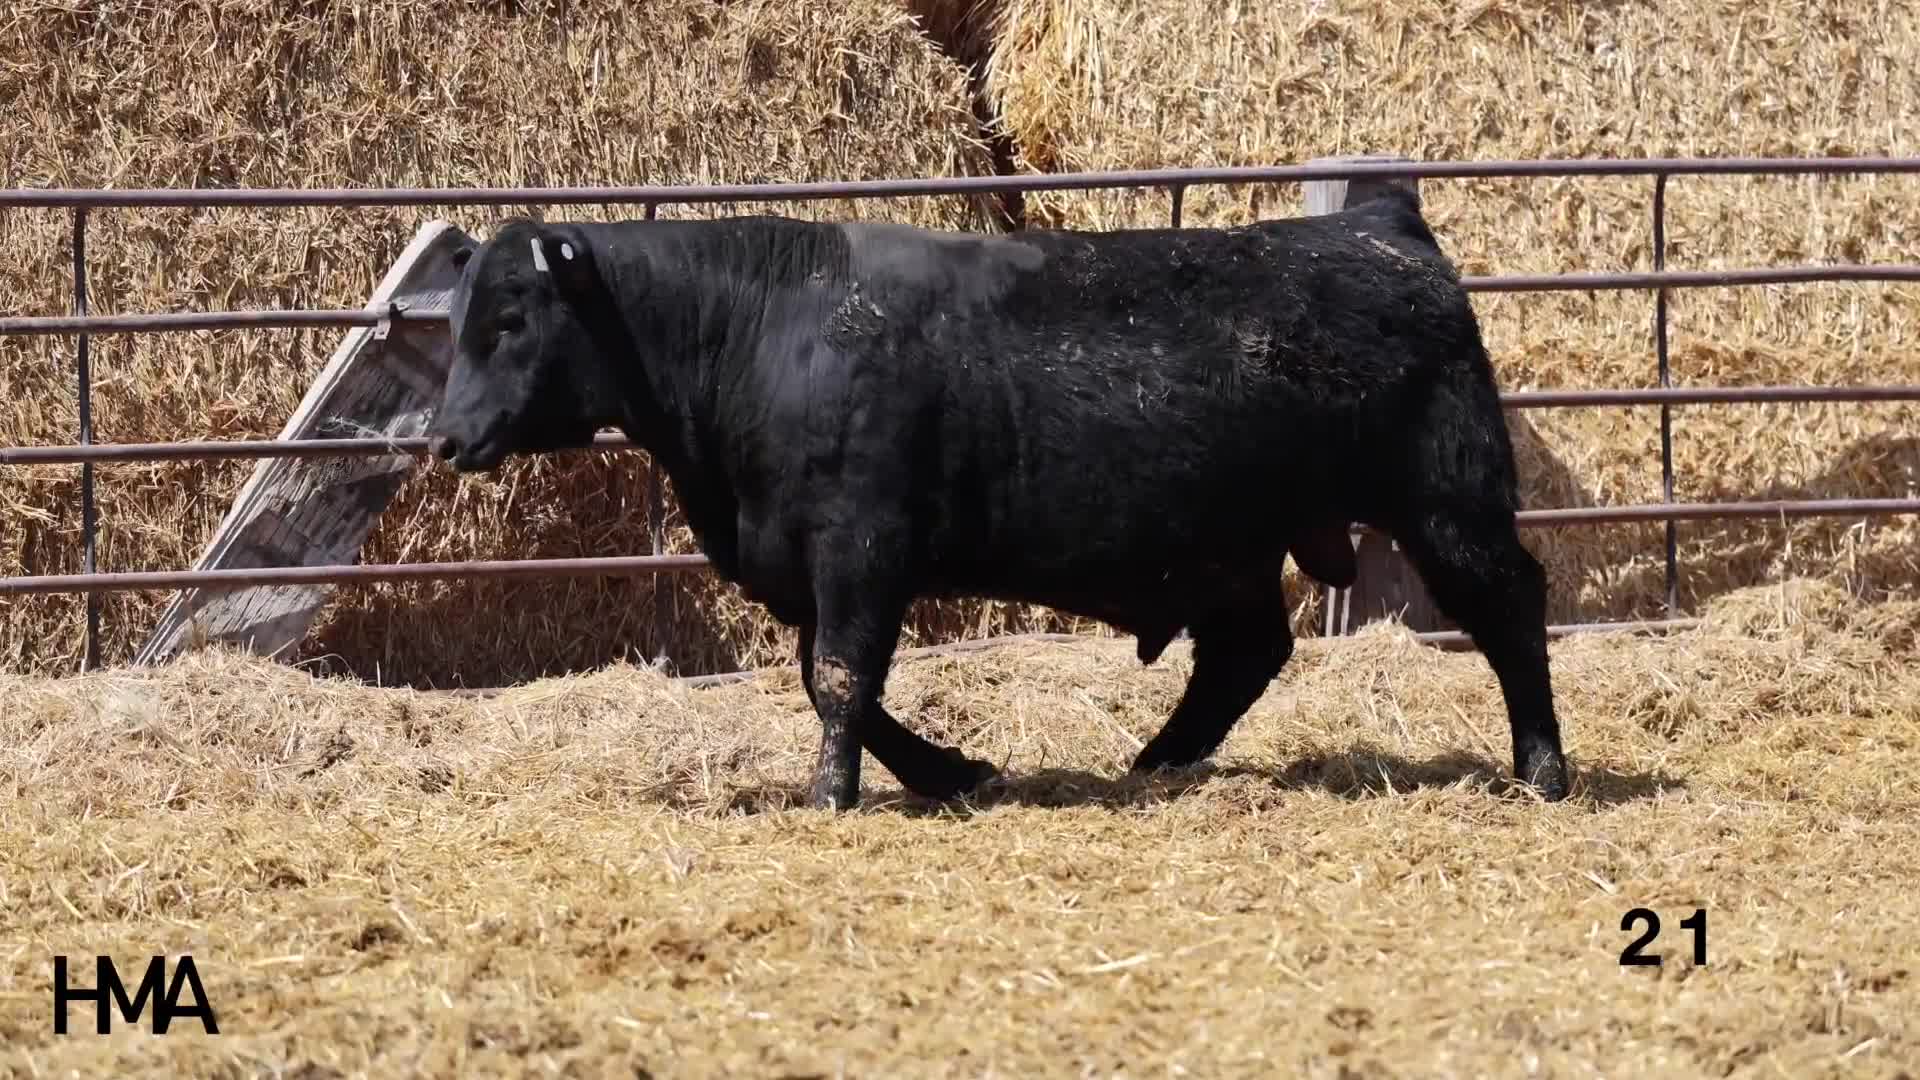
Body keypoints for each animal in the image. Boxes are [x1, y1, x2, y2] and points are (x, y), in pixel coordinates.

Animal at [425, 188, 1572, 811]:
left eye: (512, 317)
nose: (442, 436)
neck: (760, 330)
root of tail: (1379, 227)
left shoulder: (861, 546)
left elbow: (839, 678)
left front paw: (834, 794)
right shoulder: (808, 560)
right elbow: (829, 681)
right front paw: (950, 771)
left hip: (1450, 504)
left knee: (1511, 607)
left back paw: (1543, 768)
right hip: (1231, 548)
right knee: (1245, 654)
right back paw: (1156, 763)